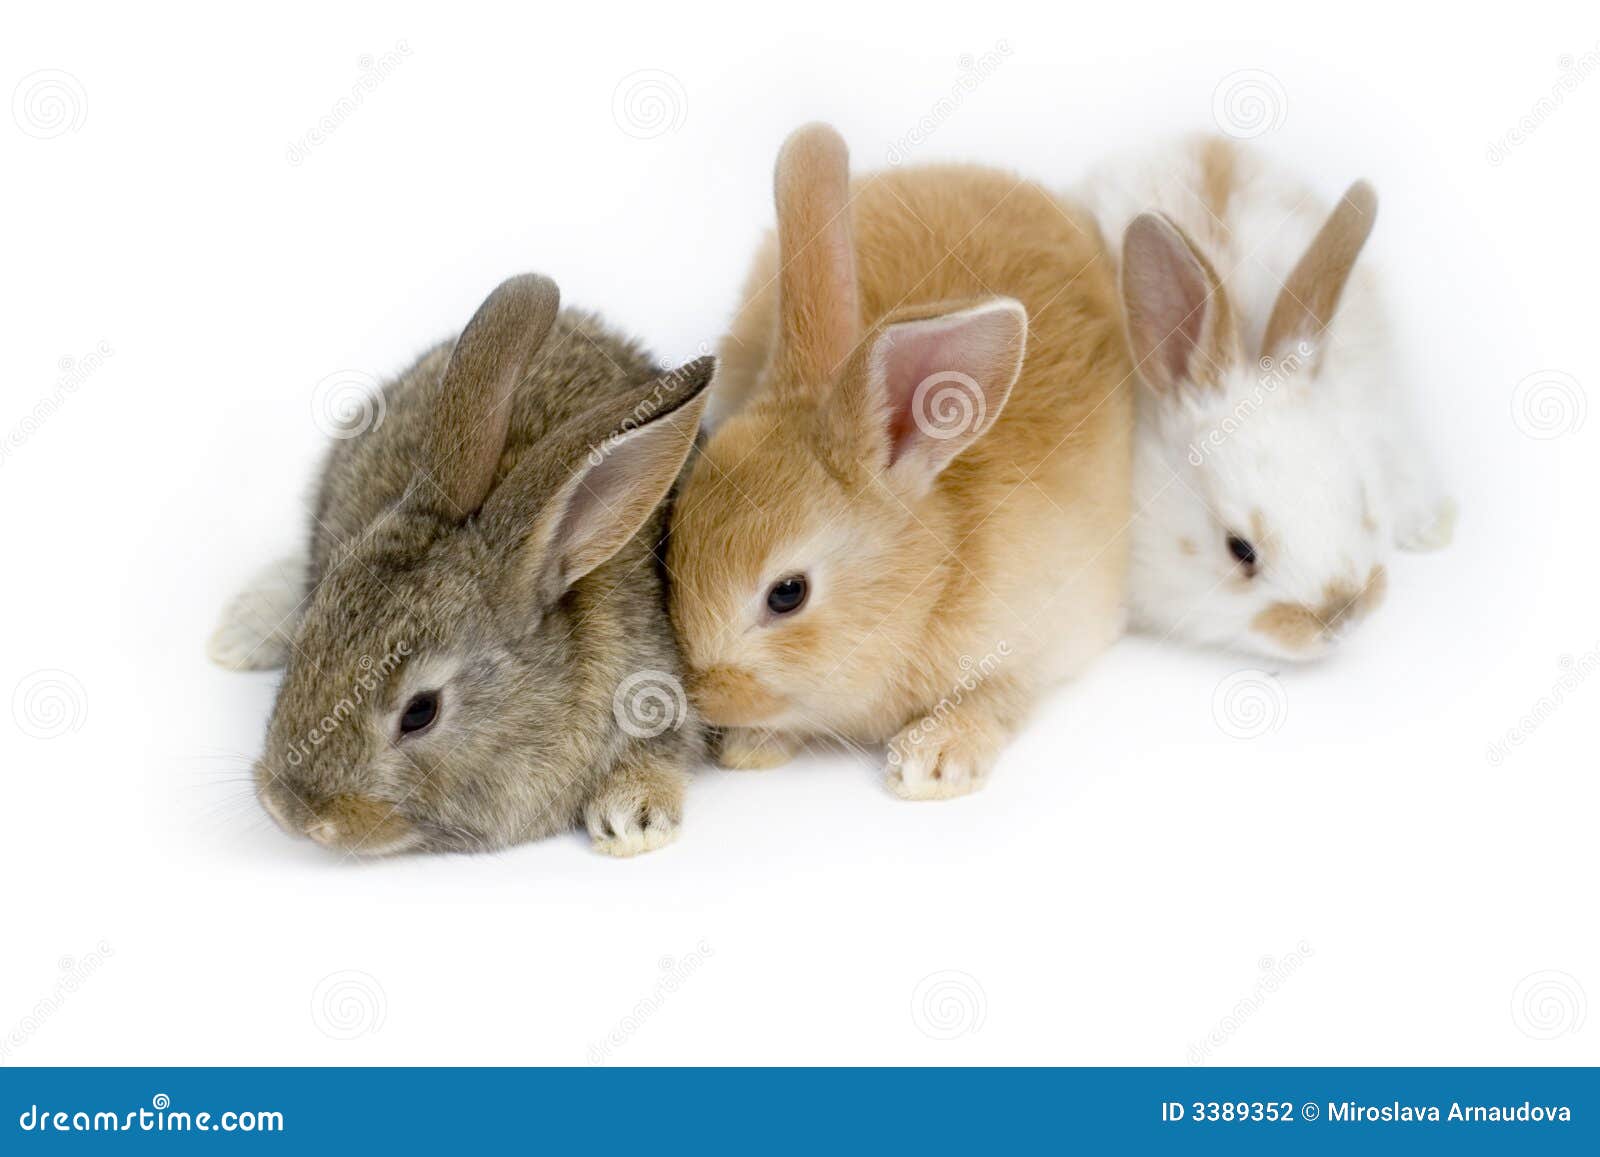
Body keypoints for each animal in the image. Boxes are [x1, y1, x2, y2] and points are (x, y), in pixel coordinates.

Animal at [666, 123, 1133, 800]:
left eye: (787, 595)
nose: (709, 698)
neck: (931, 576)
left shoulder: (1039, 638)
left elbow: (997, 697)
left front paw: (933, 761)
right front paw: (754, 747)